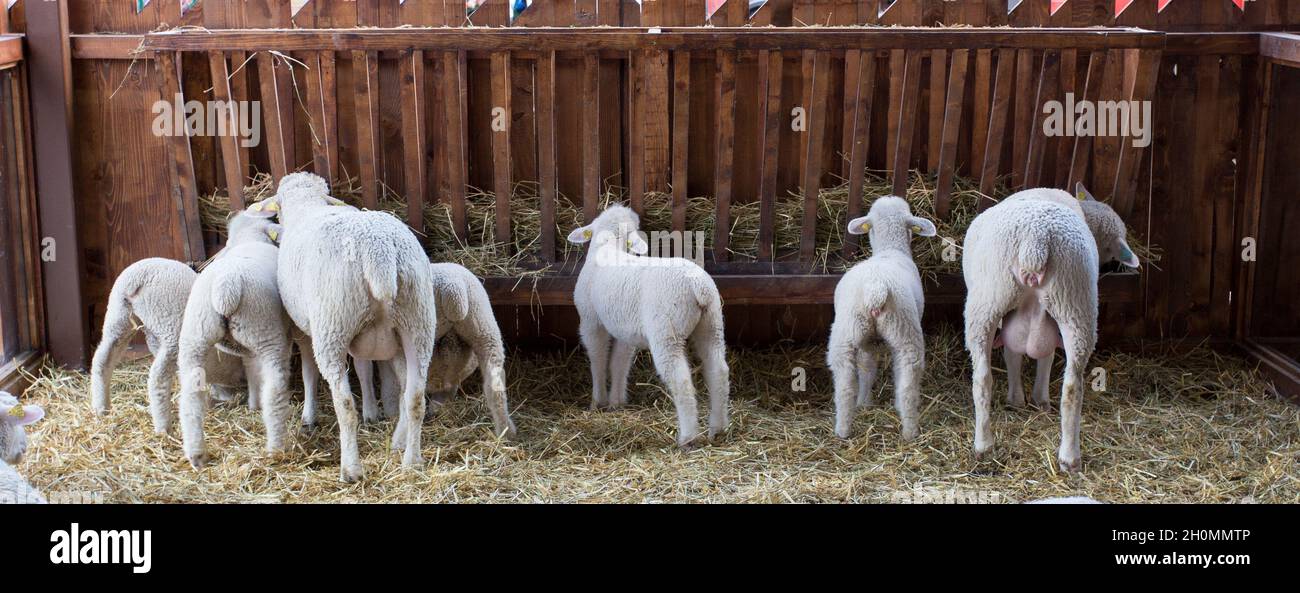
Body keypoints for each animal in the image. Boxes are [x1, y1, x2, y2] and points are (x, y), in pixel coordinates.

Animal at [90, 257, 246, 434]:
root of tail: (137, 280)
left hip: (118, 317)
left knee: (102, 361)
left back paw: (101, 408)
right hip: (172, 331)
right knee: (158, 378)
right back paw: (163, 427)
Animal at [175, 213, 289, 468]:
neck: (249, 237)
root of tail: (225, 286)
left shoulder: (248, 348)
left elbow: (252, 370)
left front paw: (254, 404)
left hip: (195, 334)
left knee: (190, 396)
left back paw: (196, 453)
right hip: (267, 332)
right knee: (275, 389)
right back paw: (276, 449)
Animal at [245, 171, 439, 481]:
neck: (307, 205)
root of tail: (379, 253)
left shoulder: (305, 330)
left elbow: (309, 372)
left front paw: (309, 416)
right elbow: (365, 369)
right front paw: (374, 412)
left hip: (332, 326)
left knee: (346, 406)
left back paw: (351, 469)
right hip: (416, 322)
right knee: (414, 397)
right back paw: (410, 459)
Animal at [569, 206, 733, 447]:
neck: (608, 246)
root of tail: (697, 286)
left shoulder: (591, 320)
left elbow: (597, 359)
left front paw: (598, 402)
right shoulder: (626, 329)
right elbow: (619, 363)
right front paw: (617, 401)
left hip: (666, 331)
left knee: (681, 380)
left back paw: (688, 437)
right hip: (712, 322)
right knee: (718, 370)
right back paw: (718, 428)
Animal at [826, 196, 941, 442]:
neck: (890, 249)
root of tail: (876, 288)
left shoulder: (866, 341)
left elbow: (867, 369)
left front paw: (864, 403)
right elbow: (871, 369)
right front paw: (866, 403)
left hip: (847, 332)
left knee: (845, 385)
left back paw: (843, 430)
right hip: (903, 330)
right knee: (907, 383)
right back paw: (910, 432)